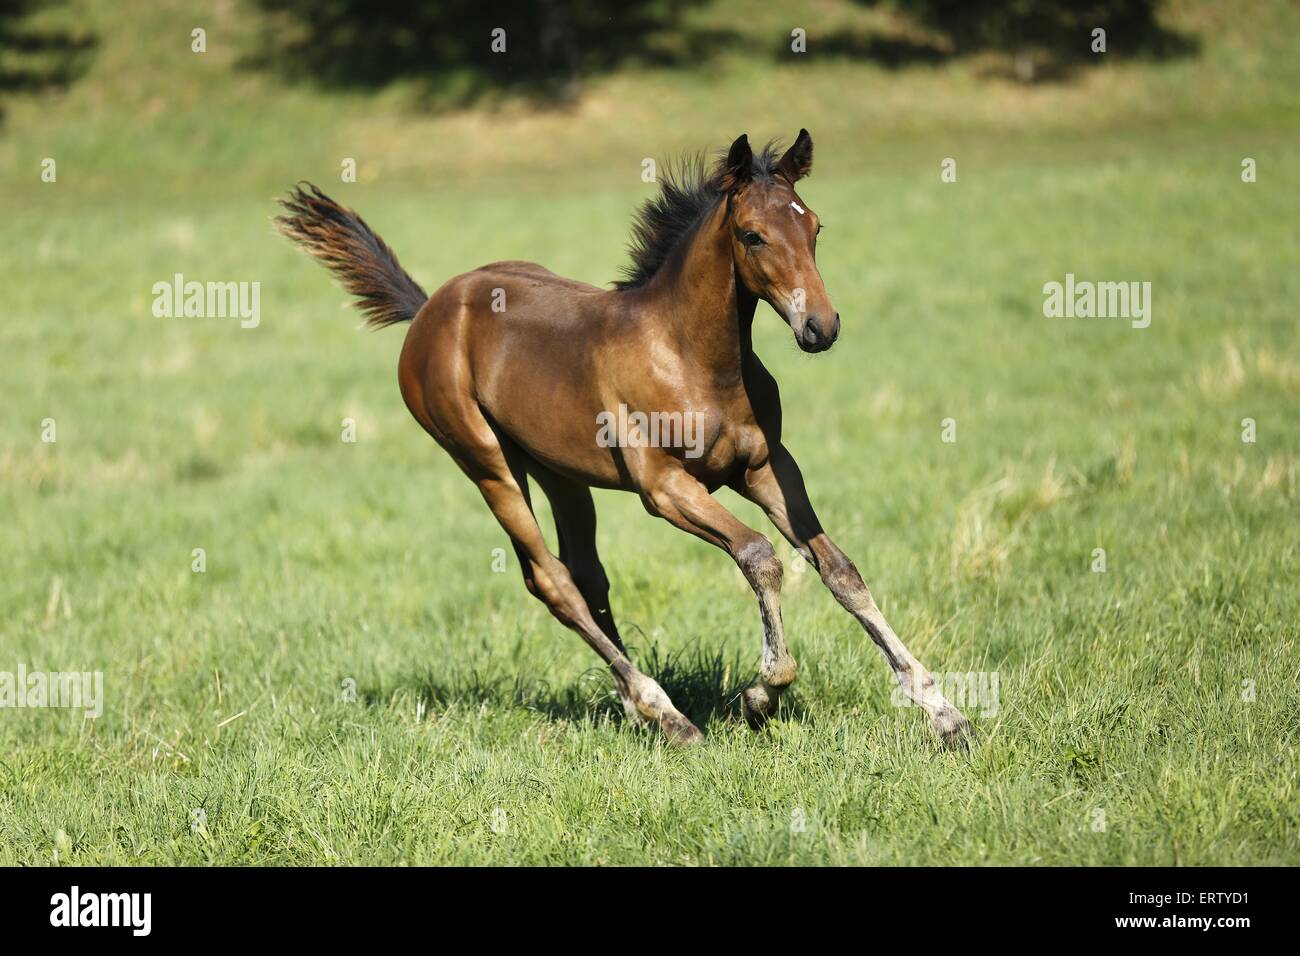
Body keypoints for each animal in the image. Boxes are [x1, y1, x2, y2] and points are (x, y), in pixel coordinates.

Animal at [276, 130, 971, 749]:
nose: (820, 328)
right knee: (551, 581)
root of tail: (427, 308)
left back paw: (638, 707)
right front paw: (760, 695)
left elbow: (839, 569)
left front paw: (943, 713)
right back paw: (667, 715)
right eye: (753, 235)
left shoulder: (766, 467)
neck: (694, 359)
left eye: (816, 228)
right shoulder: (665, 490)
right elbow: (760, 556)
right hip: (487, 463)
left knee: (588, 575)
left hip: (558, 471)